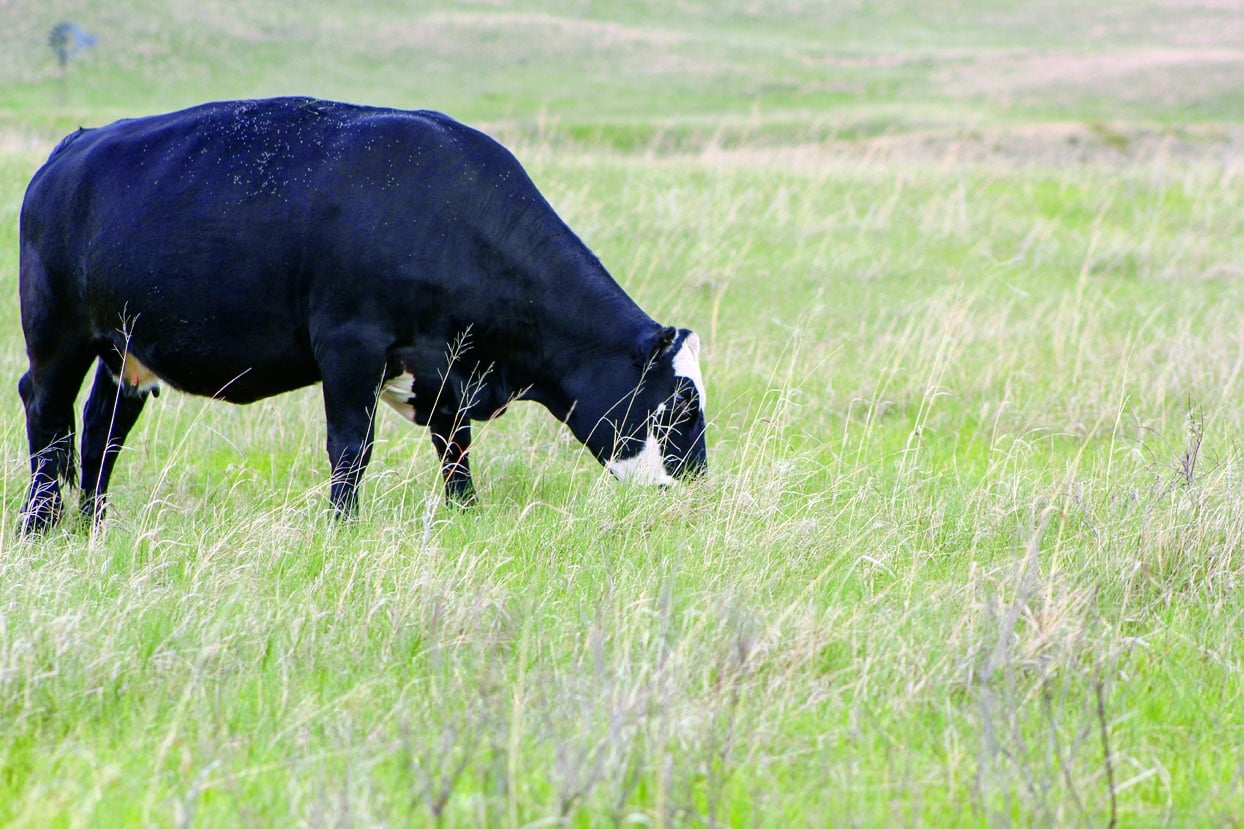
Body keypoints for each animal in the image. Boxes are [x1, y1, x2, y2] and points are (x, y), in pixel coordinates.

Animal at [17, 97, 706, 535]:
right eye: (678, 404)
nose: (697, 483)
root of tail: (72, 147)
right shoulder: (351, 345)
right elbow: (351, 447)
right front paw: (342, 527)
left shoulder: (442, 368)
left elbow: (455, 448)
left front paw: (466, 515)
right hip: (57, 334)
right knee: (46, 413)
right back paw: (39, 524)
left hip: (124, 349)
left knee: (102, 428)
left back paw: (94, 524)